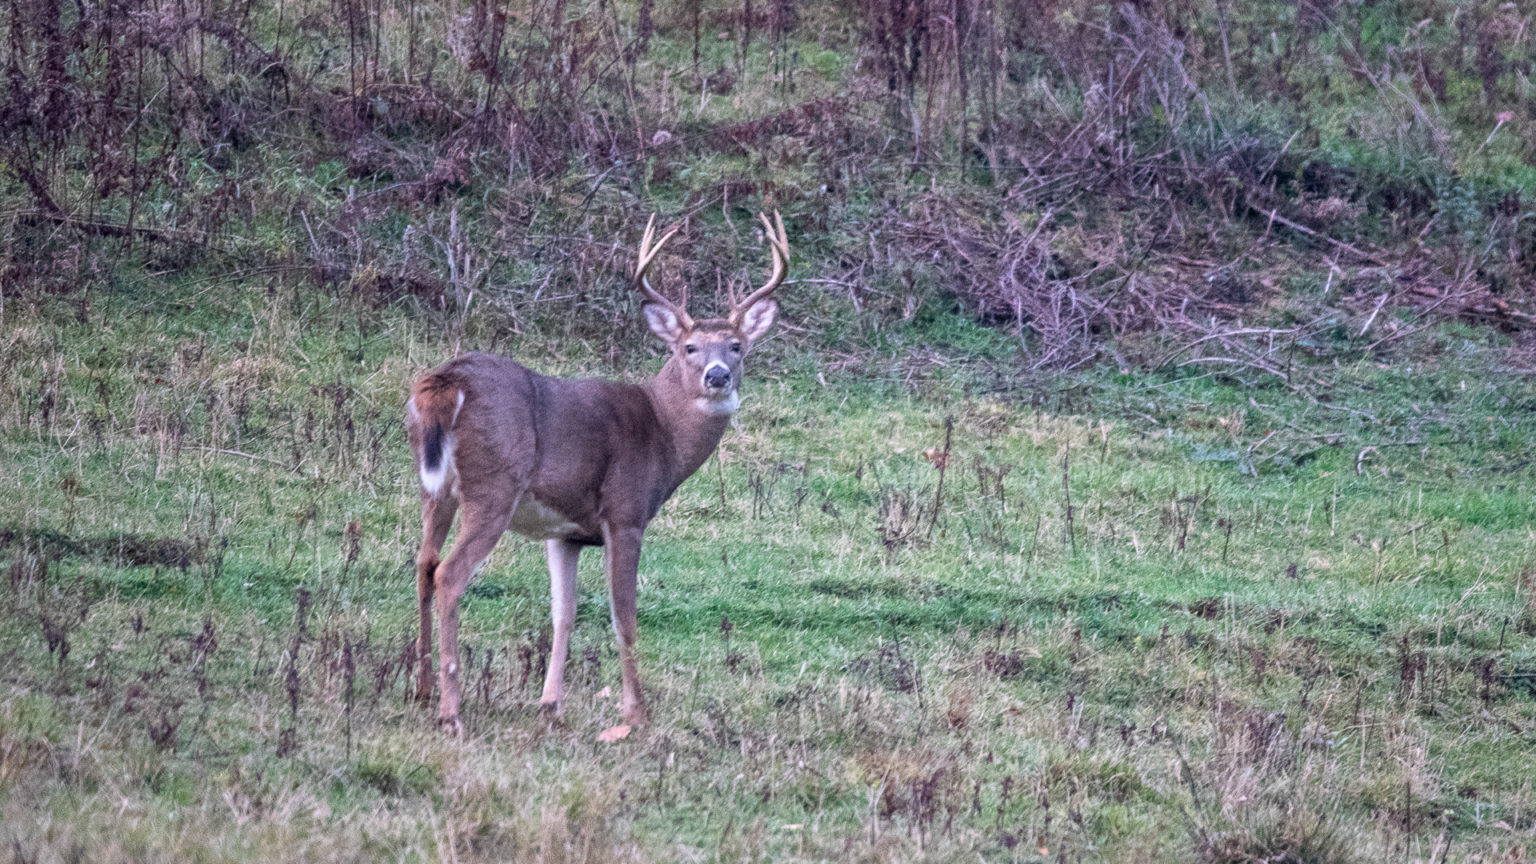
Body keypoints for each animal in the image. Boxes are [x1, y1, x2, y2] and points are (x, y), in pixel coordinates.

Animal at [406, 212, 790, 735]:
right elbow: (623, 616)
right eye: (689, 347)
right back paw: (451, 710)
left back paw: (423, 688)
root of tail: (446, 381)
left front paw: (550, 704)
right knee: (449, 573)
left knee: (424, 563)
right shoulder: (625, 514)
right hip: (494, 486)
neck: (662, 433)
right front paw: (635, 713)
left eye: (736, 345)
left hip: (436, 489)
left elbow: (563, 613)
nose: (717, 375)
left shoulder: (564, 532)